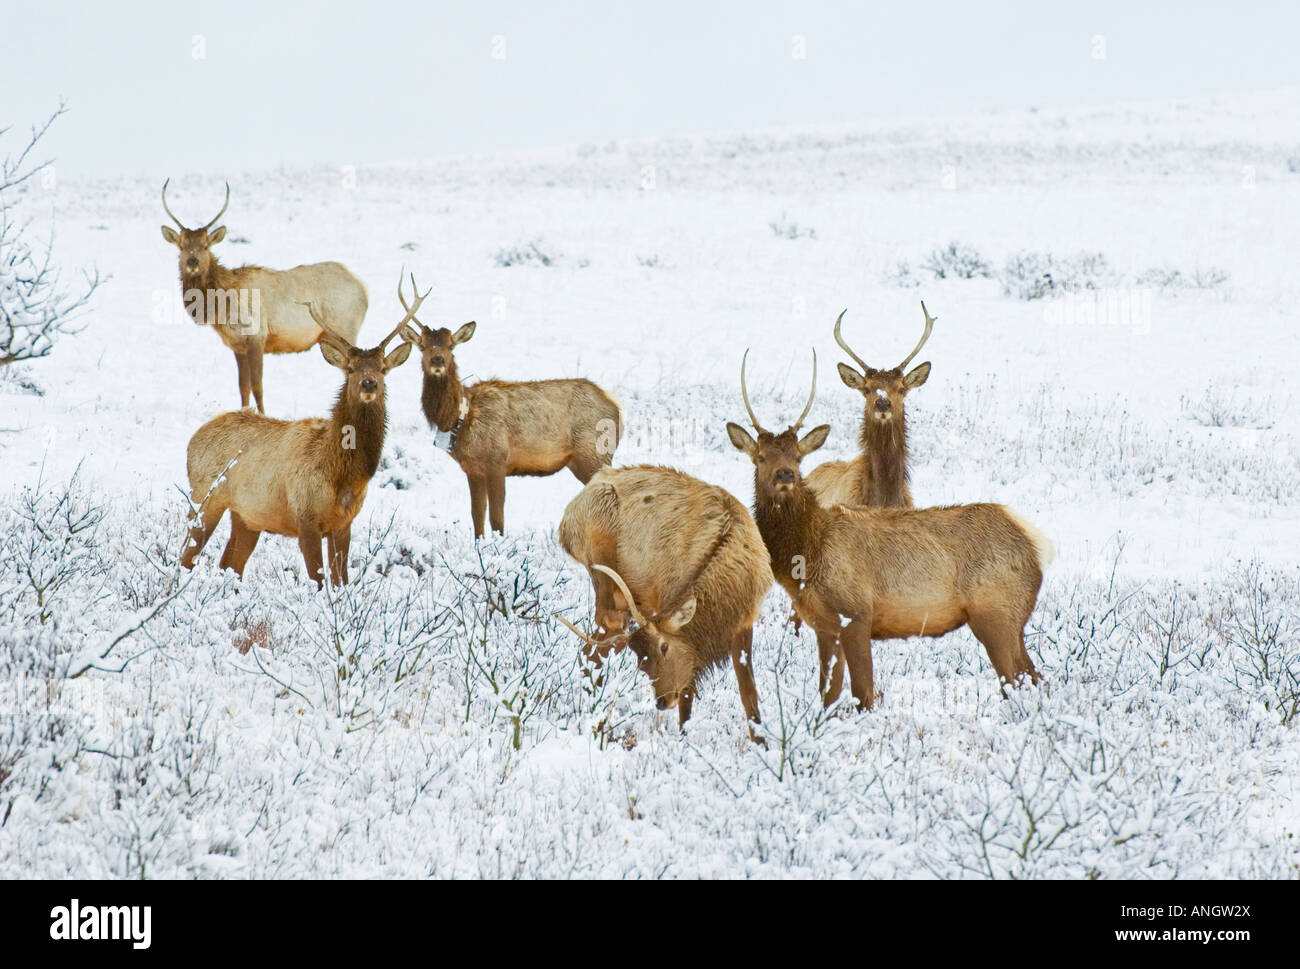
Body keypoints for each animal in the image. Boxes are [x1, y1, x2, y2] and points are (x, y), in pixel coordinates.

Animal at [160, 179, 368, 414]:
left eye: (205, 246)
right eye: (181, 246)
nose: (192, 262)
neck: (222, 304)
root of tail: (363, 287)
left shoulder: (257, 336)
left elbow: (257, 386)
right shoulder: (237, 345)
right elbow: (243, 387)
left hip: (345, 331)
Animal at [178, 276, 420, 586]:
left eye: (382, 368)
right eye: (350, 368)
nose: (369, 383)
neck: (342, 475)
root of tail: (191, 442)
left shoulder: (344, 524)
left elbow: (341, 582)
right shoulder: (305, 518)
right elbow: (318, 582)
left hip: (247, 516)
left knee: (230, 564)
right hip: (204, 498)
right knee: (185, 557)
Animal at [397, 279, 623, 538]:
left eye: (451, 346)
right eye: (422, 346)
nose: (437, 360)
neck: (460, 418)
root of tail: (617, 406)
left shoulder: (497, 460)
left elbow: (497, 518)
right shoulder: (472, 469)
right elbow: (477, 516)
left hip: (594, 453)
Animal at [556, 465, 774, 741]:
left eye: (664, 647)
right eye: (641, 661)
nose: (661, 701)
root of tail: (564, 523)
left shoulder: (744, 623)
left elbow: (749, 697)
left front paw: (761, 743)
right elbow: (688, 697)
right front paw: (683, 739)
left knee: (593, 649)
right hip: (606, 576)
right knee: (601, 634)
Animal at [726, 349, 1052, 711]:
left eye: (798, 457)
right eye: (760, 457)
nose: (785, 475)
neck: (808, 551)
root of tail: (1037, 542)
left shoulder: (856, 613)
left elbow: (863, 694)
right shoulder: (824, 625)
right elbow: (829, 697)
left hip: (997, 614)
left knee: (1018, 681)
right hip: (1010, 620)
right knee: (1037, 679)